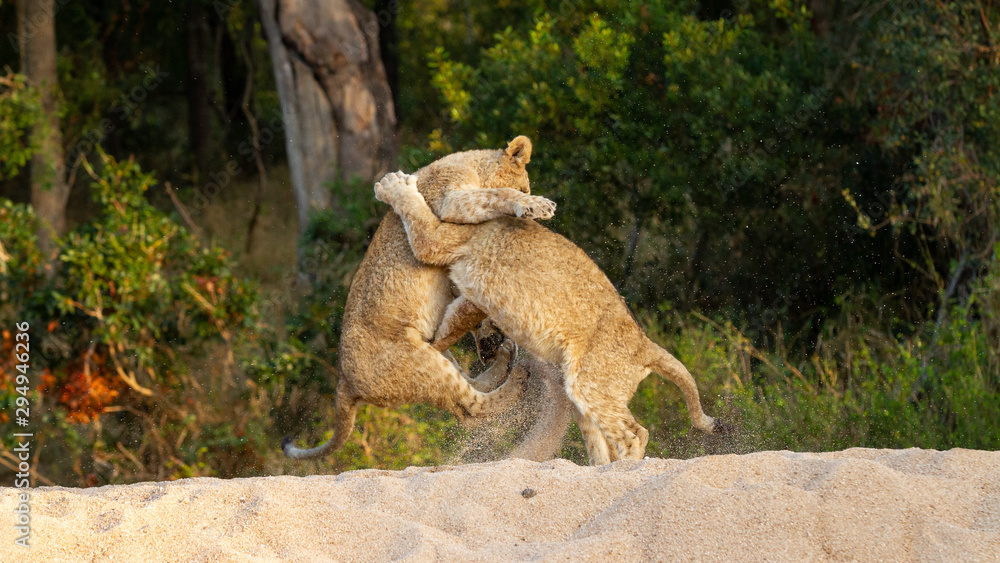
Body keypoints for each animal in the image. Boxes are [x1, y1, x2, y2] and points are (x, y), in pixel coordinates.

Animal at [283, 137, 562, 460]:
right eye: (525, 187)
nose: (530, 200)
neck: (470, 165)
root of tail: (345, 383)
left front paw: (490, 337)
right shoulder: (449, 199)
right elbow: (496, 194)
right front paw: (536, 205)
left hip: (434, 354)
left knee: (469, 382)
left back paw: (504, 359)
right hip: (422, 363)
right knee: (471, 410)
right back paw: (515, 379)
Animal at [374, 170, 727, 465]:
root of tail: (646, 346)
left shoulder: (437, 240)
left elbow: (417, 216)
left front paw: (392, 185)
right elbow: (455, 318)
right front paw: (443, 344)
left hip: (589, 383)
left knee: (635, 434)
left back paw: (623, 471)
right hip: (585, 398)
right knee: (604, 441)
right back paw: (597, 471)